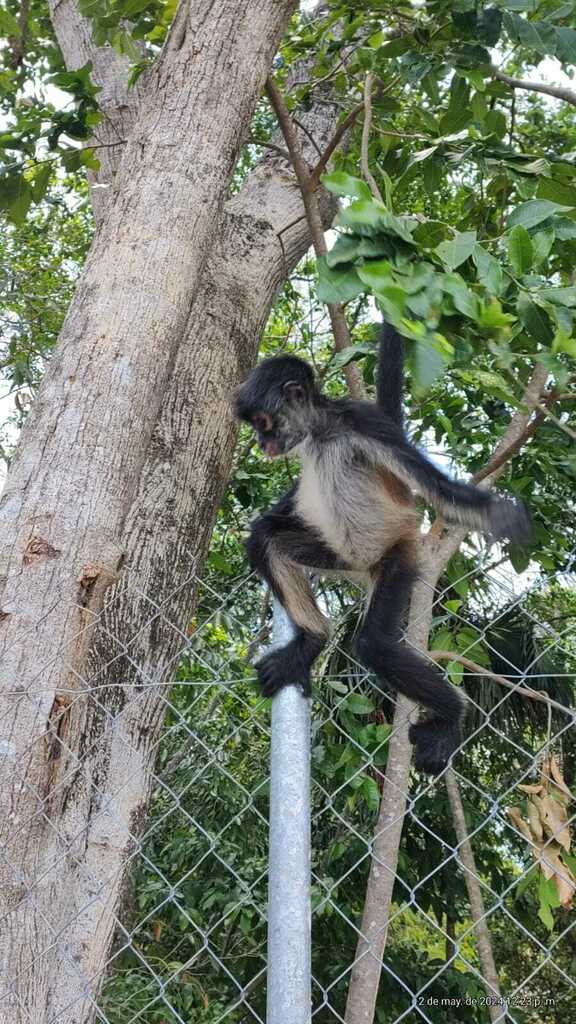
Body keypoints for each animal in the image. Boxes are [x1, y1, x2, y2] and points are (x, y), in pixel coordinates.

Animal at [234, 324, 531, 775]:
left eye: (265, 423)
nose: (262, 443)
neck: (323, 432)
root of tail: (364, 567)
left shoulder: (366, 423)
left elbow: (440, 490)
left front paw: (506, 519)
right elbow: (282, 510)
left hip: (398, 559)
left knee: (375, 642)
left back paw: (451, 717)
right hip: (336, 554)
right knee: (265, 536)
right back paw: (313, 641)